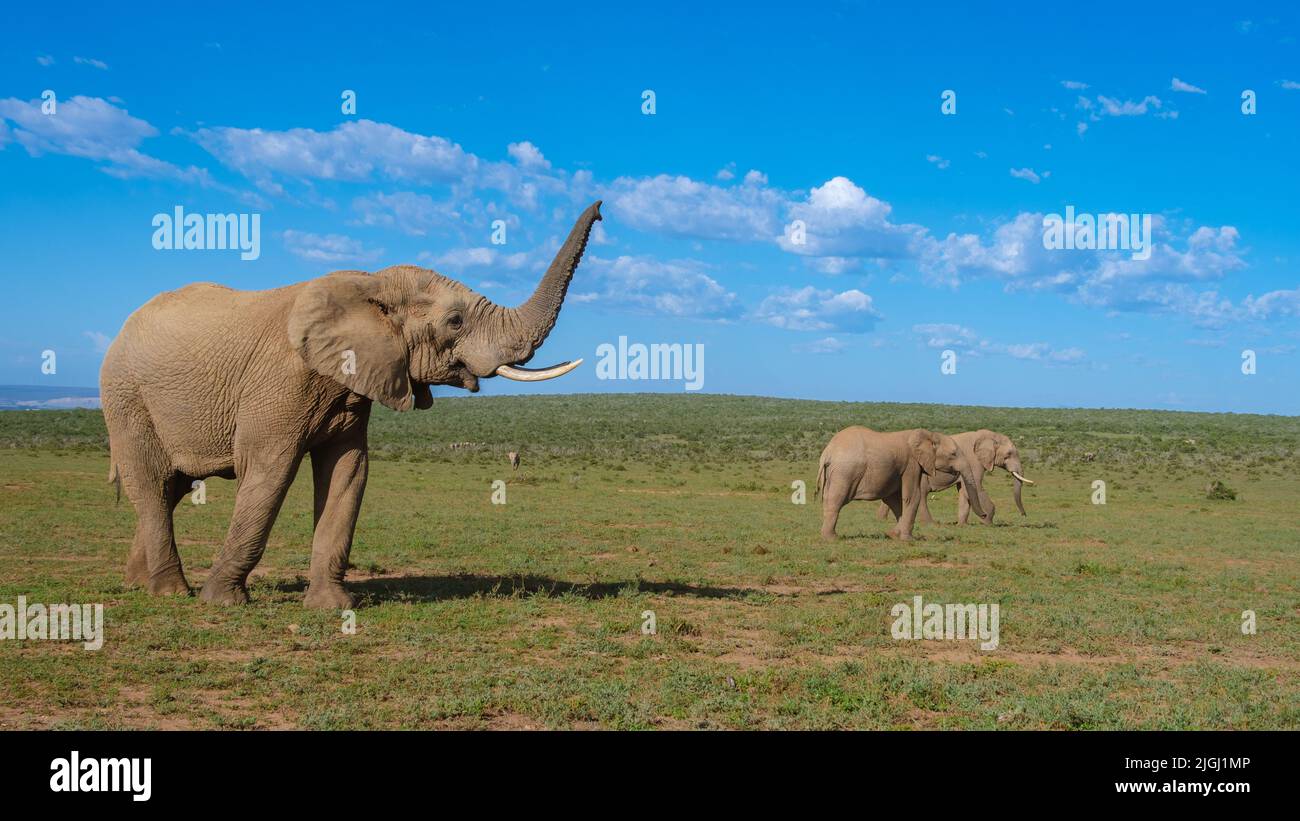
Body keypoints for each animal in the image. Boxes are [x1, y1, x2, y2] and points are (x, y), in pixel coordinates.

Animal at [100, 202, 602, 608]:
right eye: (456, 321)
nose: (600, 210)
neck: (370, 284)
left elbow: (349, 471)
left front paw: (333, 607)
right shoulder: (280, 382)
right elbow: (267, 471)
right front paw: (223, 602)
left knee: (171, 489)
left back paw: (138, 585)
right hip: (126, 396)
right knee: (152, 481)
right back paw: (170, 592)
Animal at [814, 427, 986, 540]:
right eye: (953, 454)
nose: (984, 515)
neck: (927, 435)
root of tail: (828, 452)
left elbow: (894, 500)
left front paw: (892, 534)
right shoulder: (911, 464)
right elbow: (912, 496)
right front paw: (908, 539)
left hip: (833, 474)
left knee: (828, 499)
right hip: (845, 472)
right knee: (836, 499)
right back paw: (832, 538)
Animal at [876, 429, 1033, 525]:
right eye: (1009, 454)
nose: (1024, 515)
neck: (988, 435)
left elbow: (964, 491)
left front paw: (962, 525)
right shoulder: (974, 461)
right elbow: (977, 487)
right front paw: (988, 522)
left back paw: (881, 520)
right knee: (921, 496)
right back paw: (931, 524)